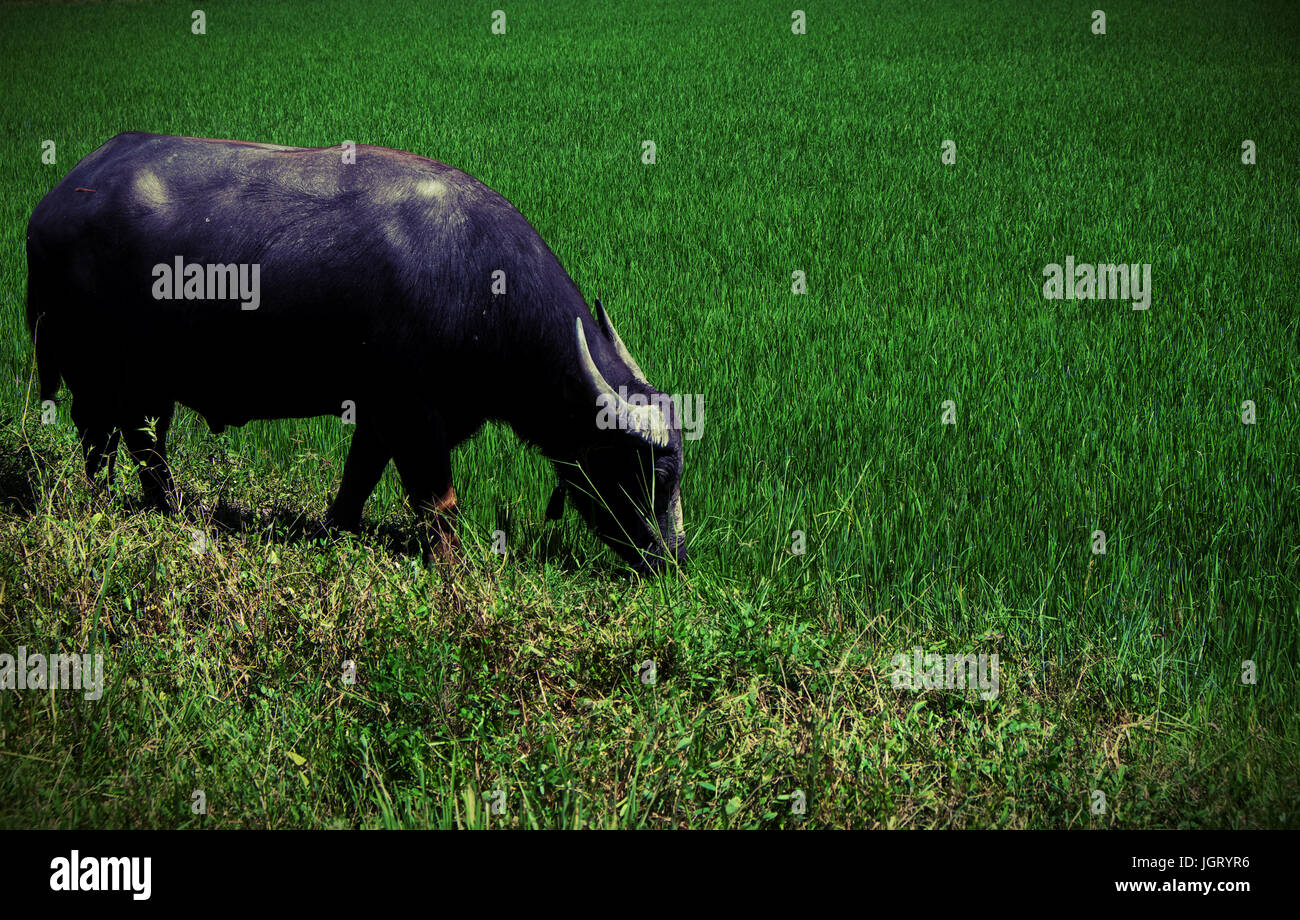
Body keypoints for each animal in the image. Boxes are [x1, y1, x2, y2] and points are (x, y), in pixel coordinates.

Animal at [26, 132, 686, 573]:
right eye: (651, 472)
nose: (672, 561)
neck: (480, 283)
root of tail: (54, 202)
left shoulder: (377, 416)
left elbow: (357, 481)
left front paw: (334, 533)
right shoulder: (413, 415)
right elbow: (438, 503)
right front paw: (455, 572)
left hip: (146, 381)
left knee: (137, 440)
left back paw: (156, 508)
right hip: (96, 370)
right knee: (109, 440)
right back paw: (135, 507)